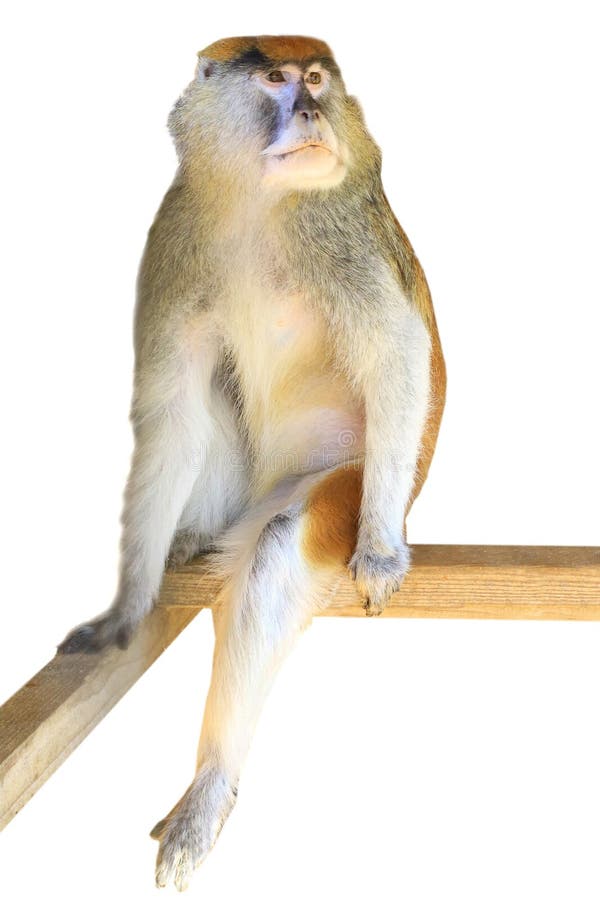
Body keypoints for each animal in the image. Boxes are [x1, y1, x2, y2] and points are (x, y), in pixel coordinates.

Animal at [57, 34, 446, 891]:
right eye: (273, 79)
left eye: (316, 79)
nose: (311, 111)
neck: (259, 204)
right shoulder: (176, 240)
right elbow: (171, 417)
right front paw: (124, 611)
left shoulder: (343, 233)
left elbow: (396, 360)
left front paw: (378, 554)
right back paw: (193, 540)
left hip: (340, 482)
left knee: (274, 546)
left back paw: (210, 788)